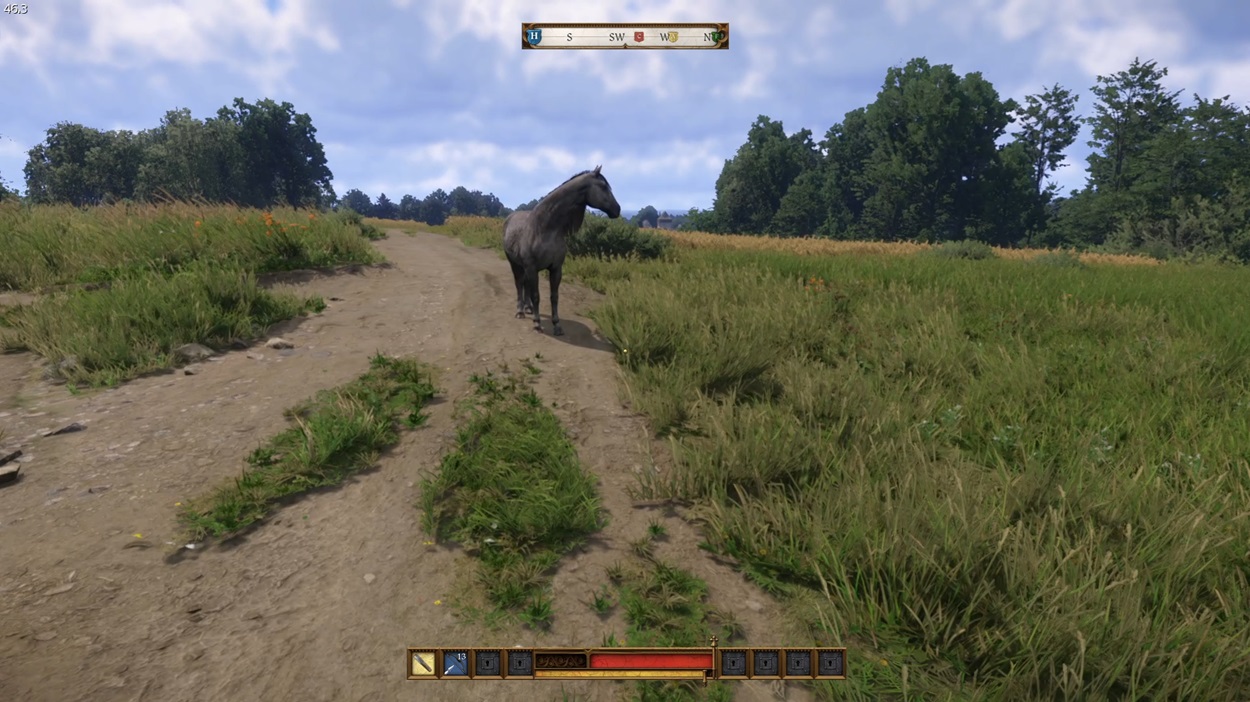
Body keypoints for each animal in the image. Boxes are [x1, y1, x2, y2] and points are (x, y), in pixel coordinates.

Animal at [502, 165, 621, 335]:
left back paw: (528, 308)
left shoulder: (556, 268)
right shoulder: (531, 268)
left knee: (525, 285)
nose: (617, 209)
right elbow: (536, 295)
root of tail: (510, 218)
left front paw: (557, 325)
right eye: (603, 187)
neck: (545, 229)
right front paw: (537, 324)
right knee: (519, 284)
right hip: (515, 263)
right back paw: (520, 311)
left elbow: (554, 297)